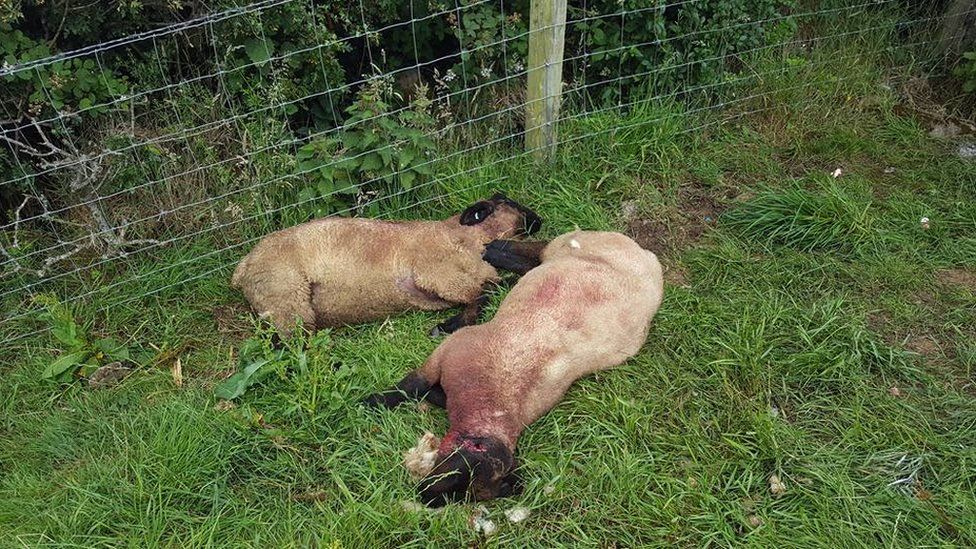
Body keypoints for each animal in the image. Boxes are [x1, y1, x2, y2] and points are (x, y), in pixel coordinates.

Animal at [230, 194, 543, 337]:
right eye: (511, 203)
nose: (539, 219)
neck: (461, 236)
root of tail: (243, 267)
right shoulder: (438, 273)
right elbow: (482, 293)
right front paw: (447, 326)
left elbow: (489, 287)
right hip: (287, 296)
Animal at [364, 230, 664, 506]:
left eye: (468, 497)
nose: (425, 496)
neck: (493, 403)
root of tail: (645, 255)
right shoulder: (445, 353)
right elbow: (412, 385)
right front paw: (373, 402)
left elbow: (427, 391)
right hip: (571, 244)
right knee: (537, 249)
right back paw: (490, 252)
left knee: (531, 262)